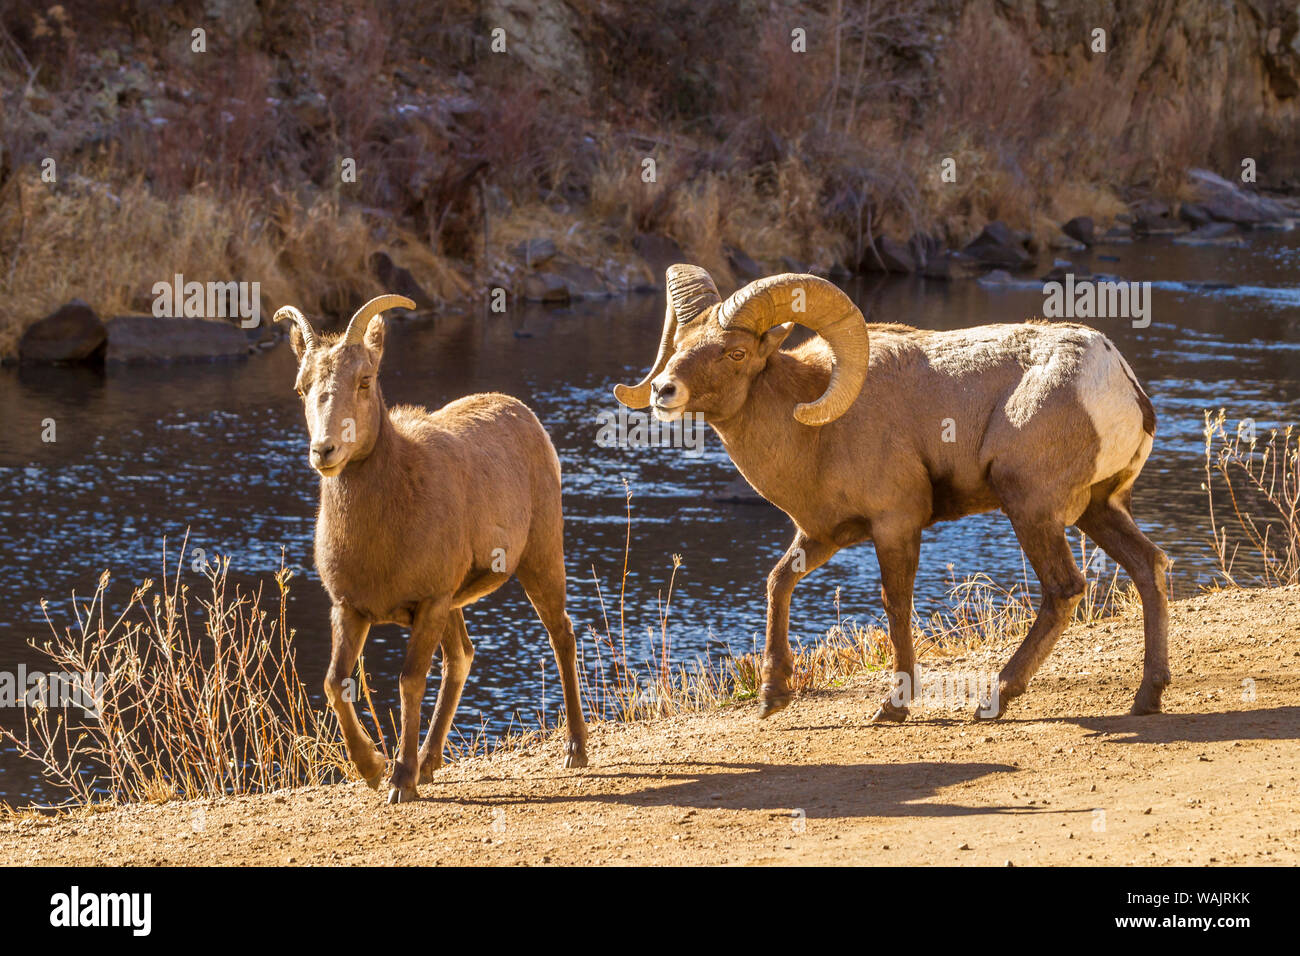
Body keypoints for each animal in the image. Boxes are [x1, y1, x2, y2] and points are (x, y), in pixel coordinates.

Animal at [274, 294, 588, 803]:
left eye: (364, 380)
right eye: (302, 389)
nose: (325, 451)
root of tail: (524, 415)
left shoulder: (428, 602)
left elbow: (409, 681)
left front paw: (399, 781)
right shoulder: (350, 608)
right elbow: (335, 683)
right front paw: (373, 769)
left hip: (539, 562)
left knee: (561, 635)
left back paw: (575, 751)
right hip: (456, 603)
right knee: (462, 657)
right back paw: (429, 762)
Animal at [615, 266, 1170, 722]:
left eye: (736, 352)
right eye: (681, 342)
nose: (664, 391)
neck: (815, 433)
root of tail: (1120, 384)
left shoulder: (895, 524)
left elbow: (896, 604)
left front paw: (893, 707)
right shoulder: (822, 535)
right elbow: (778, 583)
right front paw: (773, 697)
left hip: (1032, 509)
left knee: (1064, 590)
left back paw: (995, 700)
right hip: (1099, 509)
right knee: (1148, 566)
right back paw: (1147, 697)